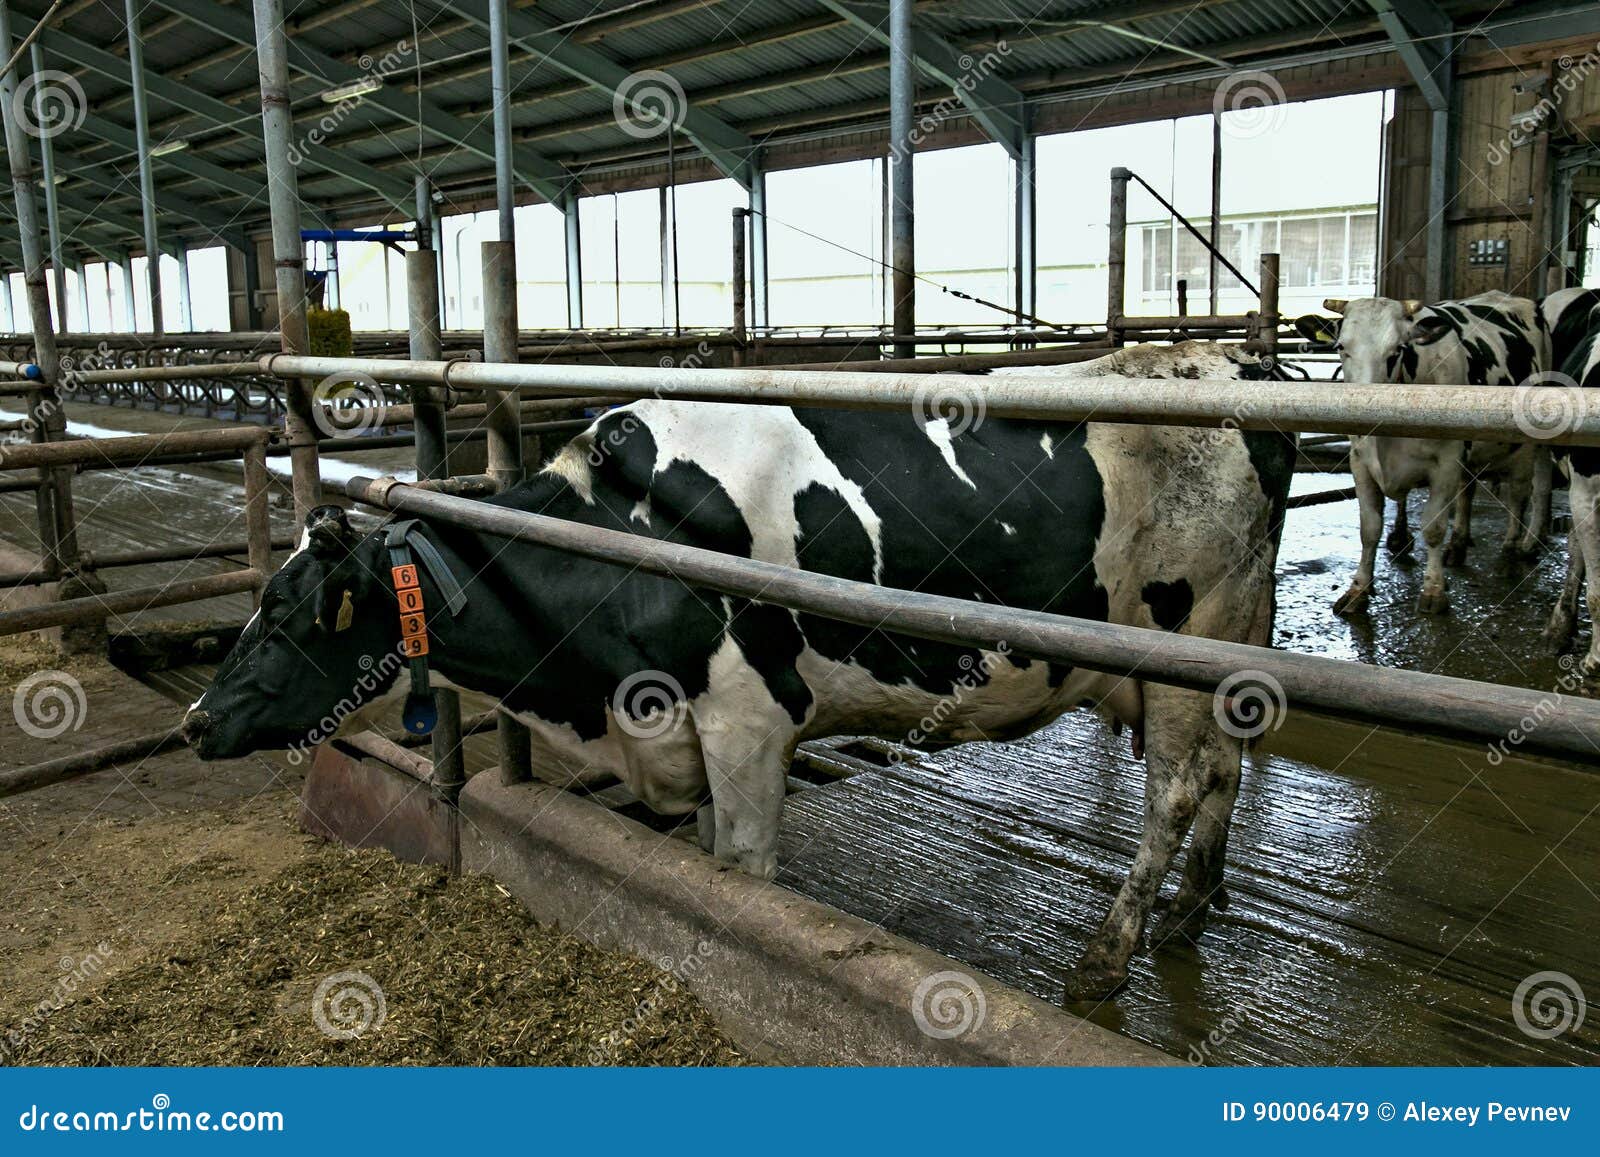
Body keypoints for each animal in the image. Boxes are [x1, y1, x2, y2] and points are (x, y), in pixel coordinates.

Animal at [183, 341, 1295, 1000]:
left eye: (285, 619)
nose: (194, 722)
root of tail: (1225, 361)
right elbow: (711, 853)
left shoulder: (747, 724)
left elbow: (743, 873)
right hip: (1229, 642)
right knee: (1225, 770)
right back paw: (1194, 907)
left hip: (1186, 642)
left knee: (1176, 788)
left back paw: (1108, 955)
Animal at [1312, 292, 1549, 616]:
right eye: (1340, 347)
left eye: (1398, 350)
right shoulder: (1359, 462)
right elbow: (1369, 528)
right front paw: (1358, 589)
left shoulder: (1446, 464)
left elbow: (1434, 528)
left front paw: (1434, 590)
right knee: (1467, 491)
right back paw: (1457, 545)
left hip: (1524, 449)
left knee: (1519, 496)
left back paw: (1511, 552)